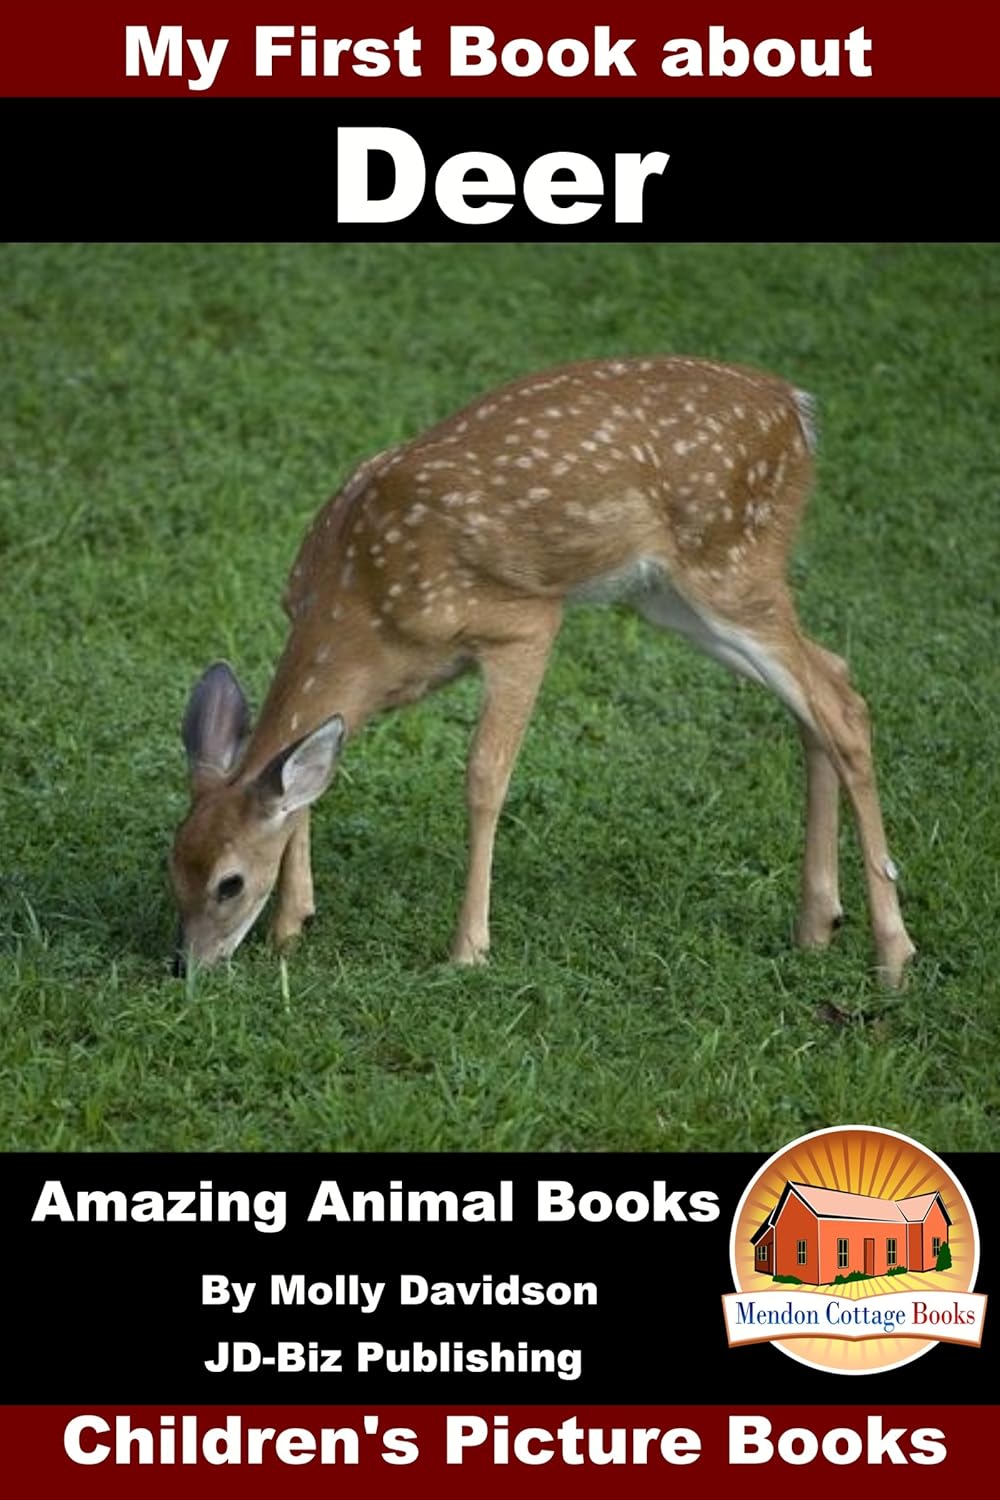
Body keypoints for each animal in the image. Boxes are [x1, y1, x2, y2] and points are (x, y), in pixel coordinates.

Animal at [169, 356, 916, 987]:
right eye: (173, 866)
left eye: (229, 883)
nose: (186, 966)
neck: (360, 604)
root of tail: (796, 408)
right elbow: (312, 783)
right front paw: (293, 925)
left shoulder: (522, 623)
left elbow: (483, 778)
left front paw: (468, 948)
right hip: (673, 597)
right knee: (828, 680)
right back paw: (817, 924)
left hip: (730, 559)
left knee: (841, 706)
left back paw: (893, 954)